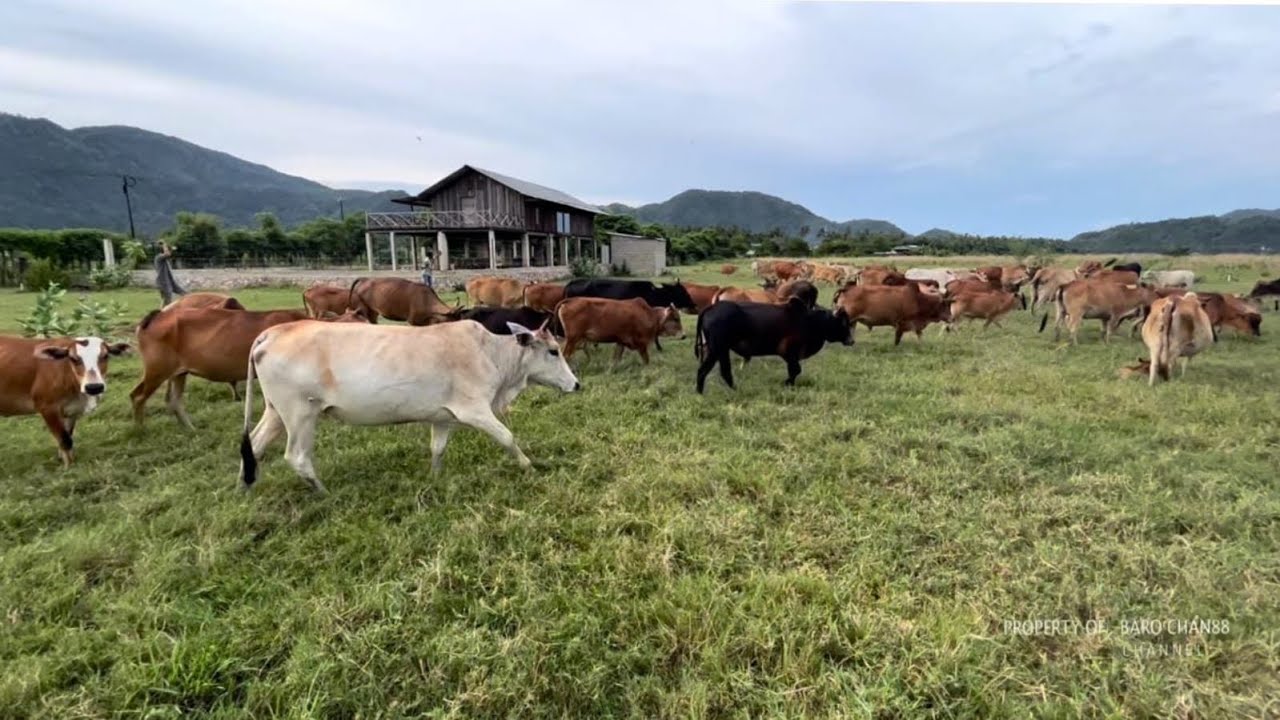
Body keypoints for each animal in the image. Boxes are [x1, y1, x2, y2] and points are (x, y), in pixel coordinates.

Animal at [1, 335, 129, 467]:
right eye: (73, 359)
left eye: (105, 356)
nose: (94, 387)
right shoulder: (47, 408)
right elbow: (65, 439)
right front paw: (69, 466)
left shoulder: (72, 411)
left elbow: (68, 436)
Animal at [238, 320, 580, 492]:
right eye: (553, 351)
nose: (576, 384)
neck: (491, 353)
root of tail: (271, 332)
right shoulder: (475, 410)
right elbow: (508, 438)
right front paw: (529, 467)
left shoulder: (443, 417)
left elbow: (438, 448)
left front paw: (435, 478)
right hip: (300, 414)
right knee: (296, 457)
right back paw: (323, 492)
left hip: (276, 412)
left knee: (254, 445)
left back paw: (246, 488)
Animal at [554, 297, 684, 368]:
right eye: (676, 318)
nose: (684, 335)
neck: (649, 315)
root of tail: (571, 300)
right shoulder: (642, 343)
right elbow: (646, 360)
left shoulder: (620, 342)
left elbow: (616, 359)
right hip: (573, 339)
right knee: (565, 356)